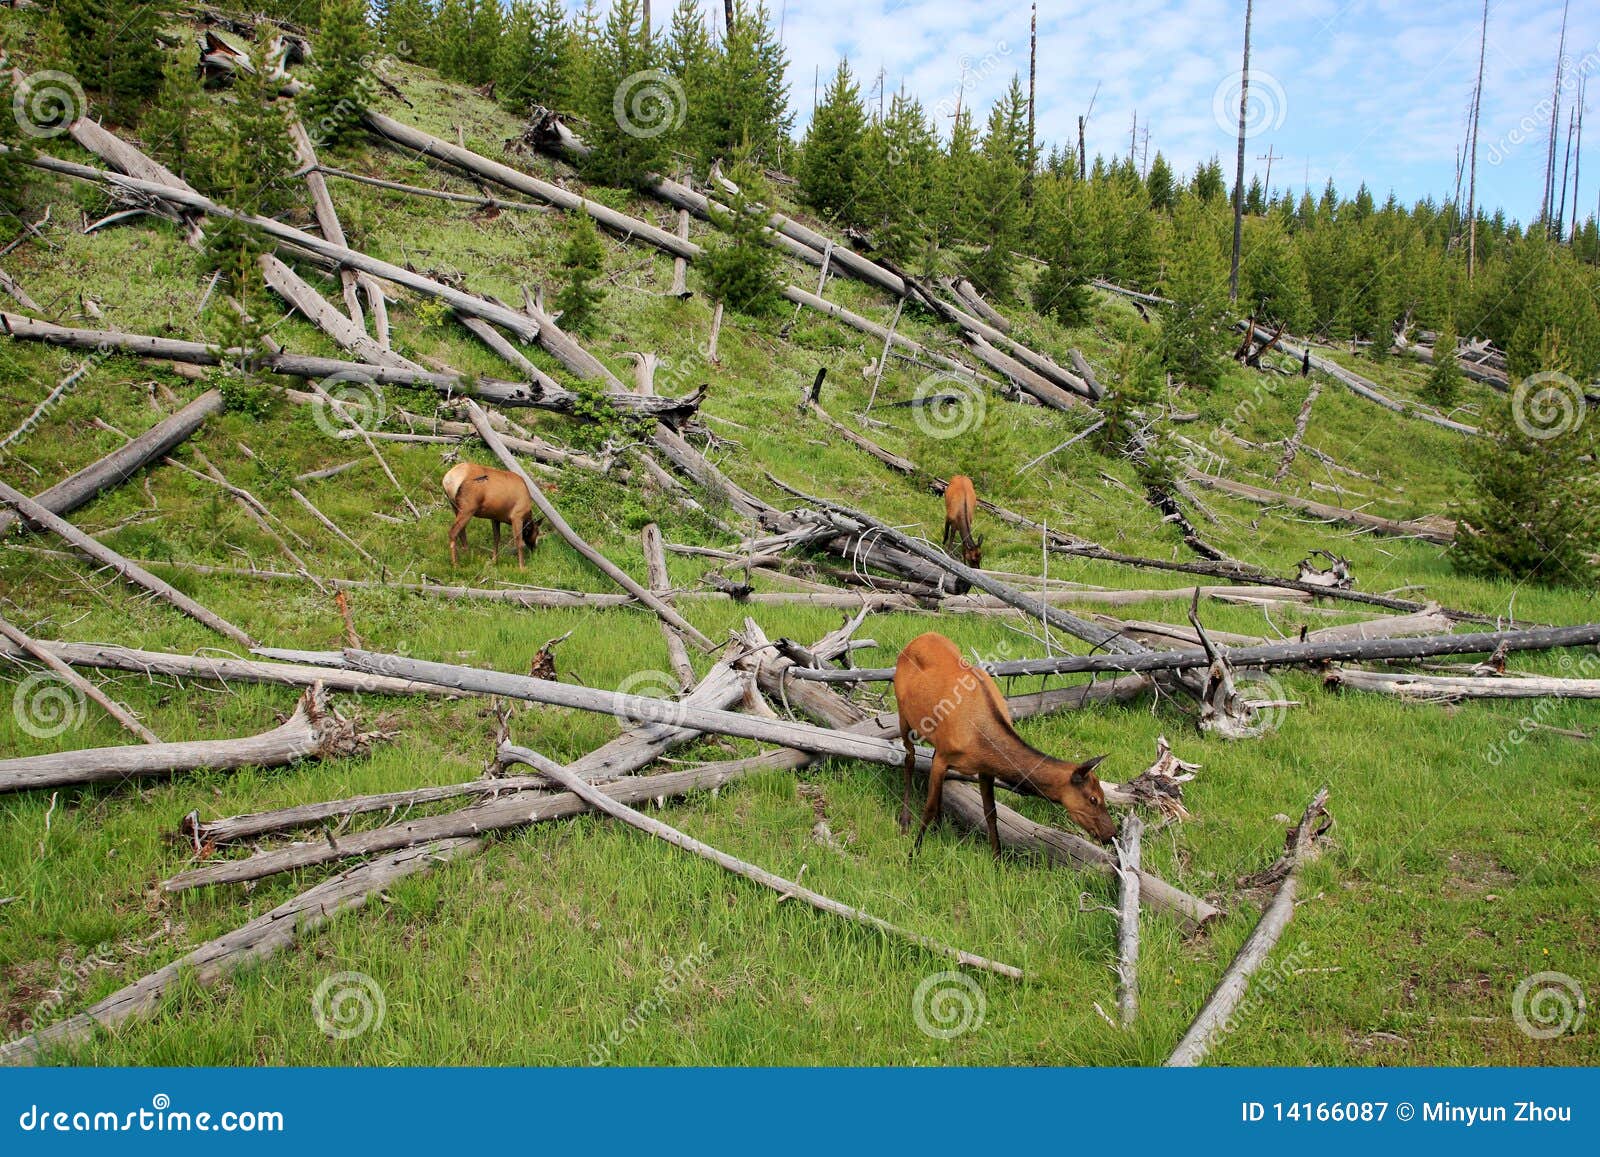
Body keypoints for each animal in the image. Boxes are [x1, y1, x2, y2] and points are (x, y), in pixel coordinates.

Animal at [894, 631, 1116, 857]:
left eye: (1103, 794)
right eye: (1093, 799)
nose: (1111, 833)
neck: (978, 740)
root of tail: (918, 638)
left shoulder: (984, 768)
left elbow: (991, 812)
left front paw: (997, 858)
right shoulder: (944, 756)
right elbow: (928, 808)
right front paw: (914, 853)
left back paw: (938, 826)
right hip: (904, 714)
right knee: (909, 759)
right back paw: (905, 821)